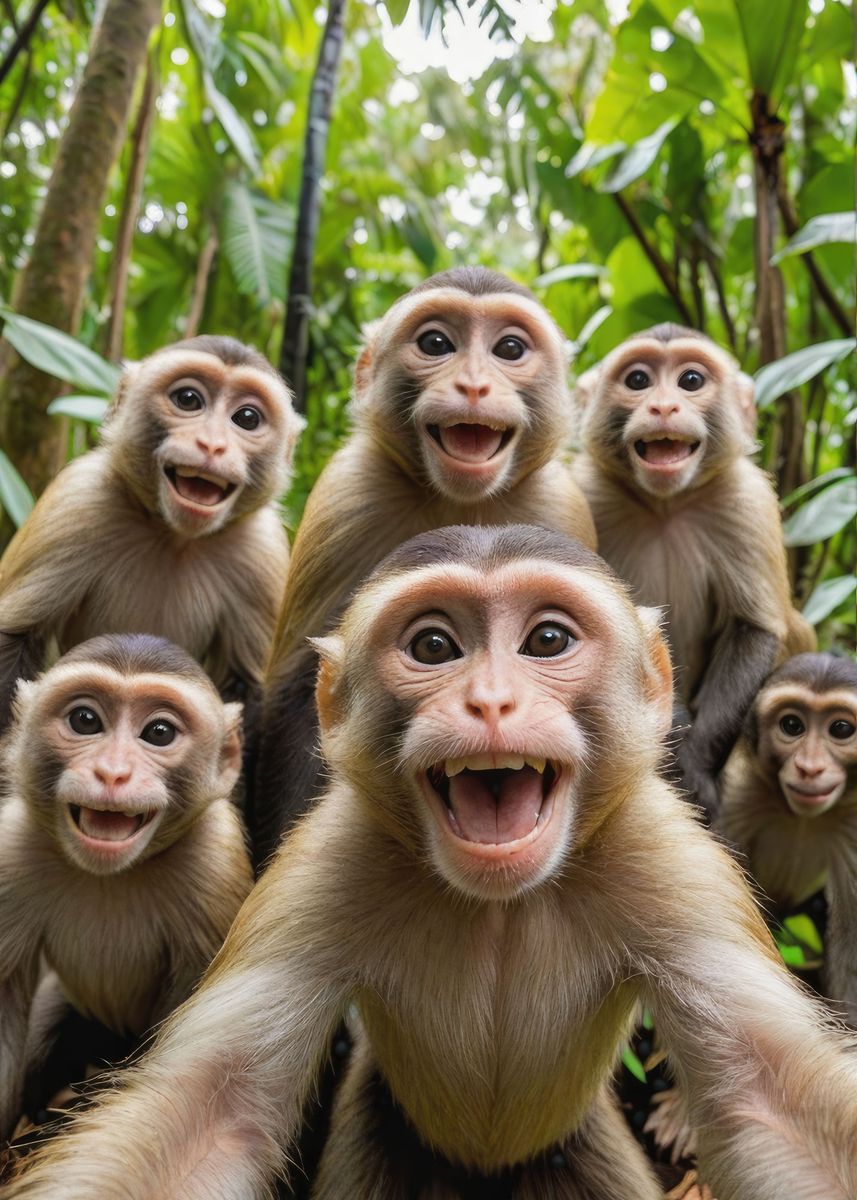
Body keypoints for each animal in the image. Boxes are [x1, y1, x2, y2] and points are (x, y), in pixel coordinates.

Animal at [0, 335, 301, 742]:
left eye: (247, 418)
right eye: (188, 399)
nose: (212, 445)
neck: (172, 534)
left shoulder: (261, 548)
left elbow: (247, 686)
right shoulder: (78, 500)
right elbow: (14, 636)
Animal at [252, 266, 597, 867]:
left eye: (510, 349)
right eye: (436, 344)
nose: (474, 385)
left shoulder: (561, 505)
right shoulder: (349, 494)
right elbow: (301, 694)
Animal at [572, 323, 814, 820]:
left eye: (690, 381)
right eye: (639, 380)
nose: (664, 406)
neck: (665, 505)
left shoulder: (744, 499)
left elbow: (754, 628)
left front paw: (696, 766)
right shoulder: (588, 491)